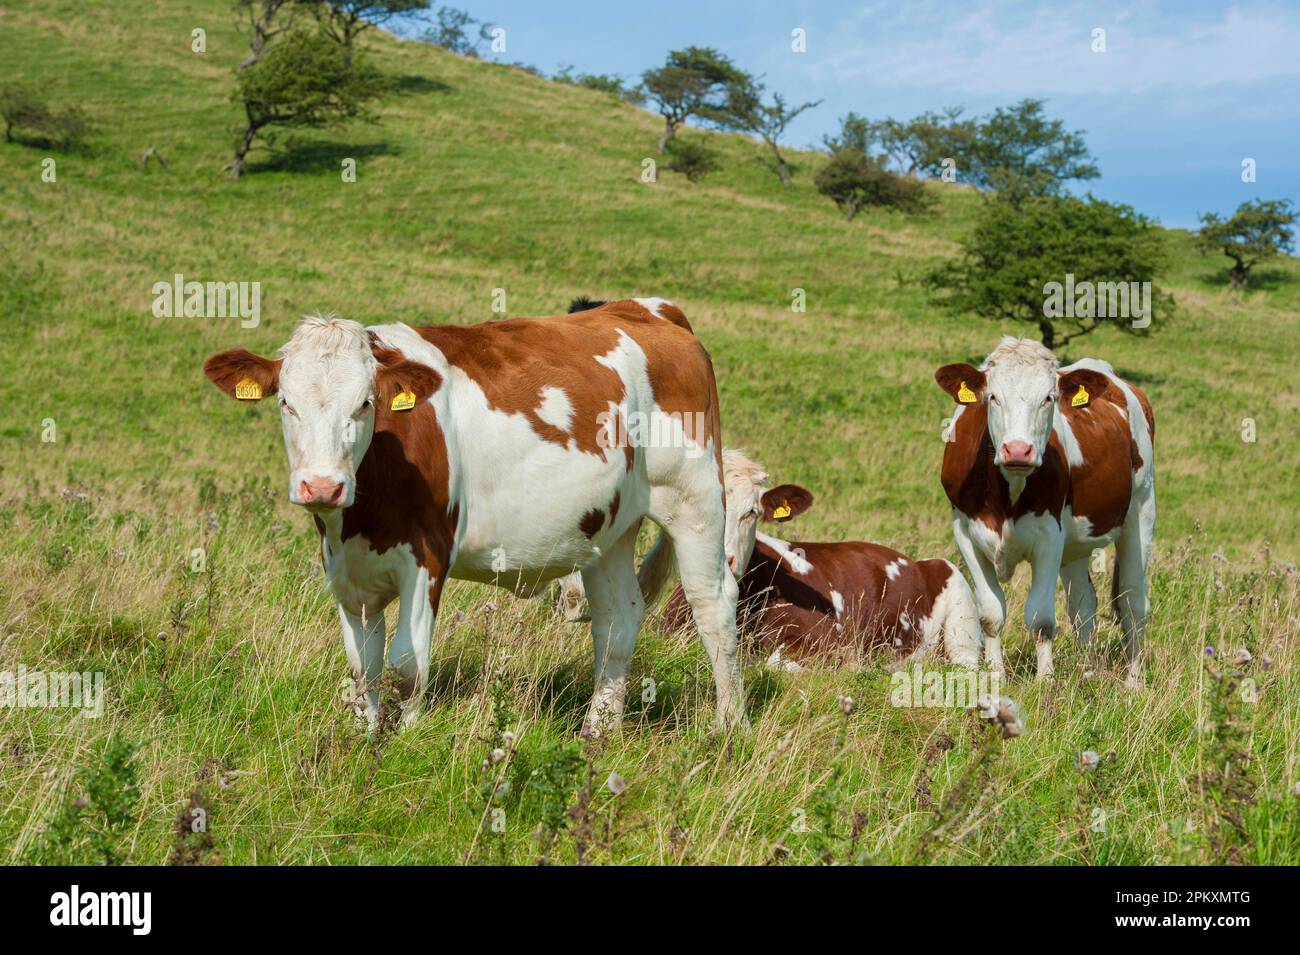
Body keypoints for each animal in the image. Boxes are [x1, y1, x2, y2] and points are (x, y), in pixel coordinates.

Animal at [202, 300, 745, 737]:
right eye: (285, 402)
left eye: (365, 403)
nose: (321, 486)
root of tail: (645, 308)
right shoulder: (344, 568)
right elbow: (364, 668)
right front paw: (362, 736)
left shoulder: (427, 555)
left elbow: (407, 666)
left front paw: (403, 742)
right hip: (607, 528)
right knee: (618, 617)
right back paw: (599, 730)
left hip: (695, 500)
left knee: (713, 606)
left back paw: (728, 727)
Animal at [934, 337, 1156, 686]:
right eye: (993, 397)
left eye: (1048, 399)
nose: (1018, 450)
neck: (1006, 494)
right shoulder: (965, 532)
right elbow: (990, 614)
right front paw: (996, 674)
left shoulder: (1050, 537)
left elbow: (1040, 618)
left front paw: (1045, 681)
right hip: (1076, 546)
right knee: (1083, 604)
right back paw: (1087, 671)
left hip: (1141, 510)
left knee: (1133, 602)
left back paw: (1133, 682)